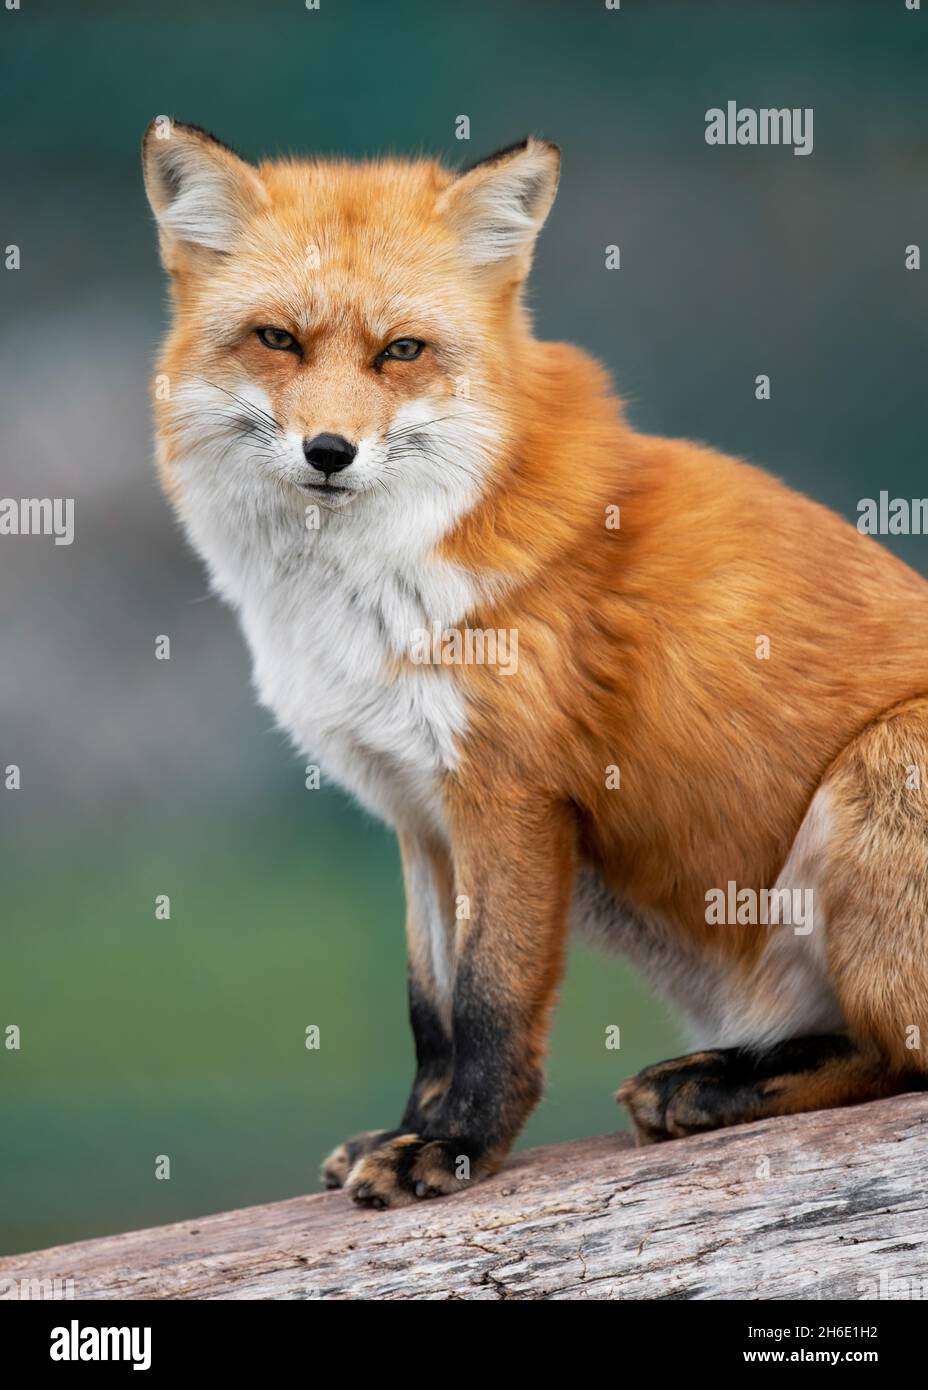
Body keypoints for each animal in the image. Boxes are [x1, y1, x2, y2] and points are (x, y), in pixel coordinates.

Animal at [143, 119, 928, 1209]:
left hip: (880, 771)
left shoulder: (509, 795)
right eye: (276, 339)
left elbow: (491, 999)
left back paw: (718, 1084)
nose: (330, 450)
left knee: (902, 1060)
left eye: (402, 351)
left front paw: (454, 1147)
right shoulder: (418, 811)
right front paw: (409, 1127)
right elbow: (429, 1008)